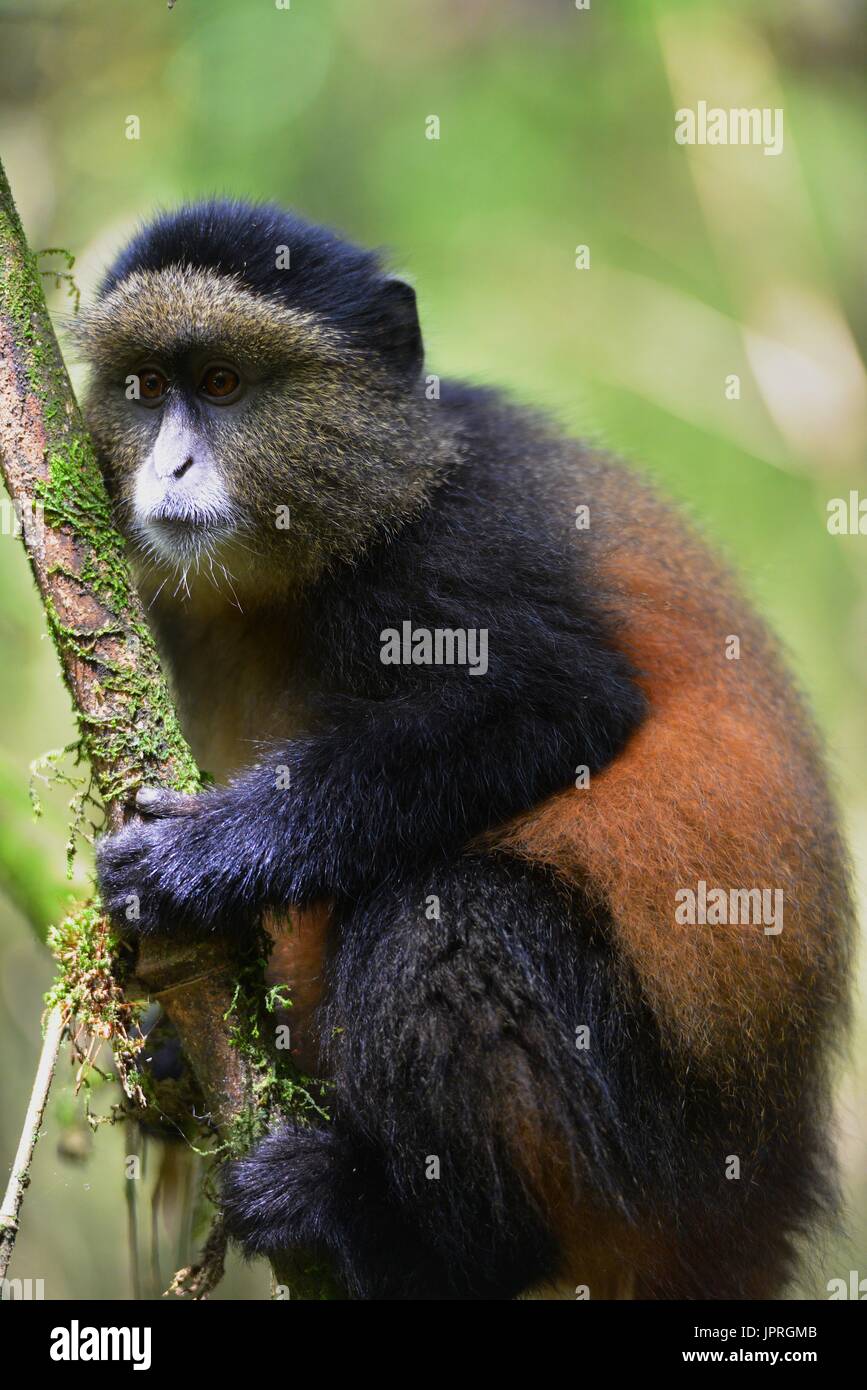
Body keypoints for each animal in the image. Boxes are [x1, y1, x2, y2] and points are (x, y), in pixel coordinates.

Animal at [76, 199, 852, 1301]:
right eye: (146, 388)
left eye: (222, 383)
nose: (170, 467)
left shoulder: (446, 548)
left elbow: (559, 706)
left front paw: (203, 857)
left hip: (647, 1177)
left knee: (453, 922)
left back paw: (406, 1237)